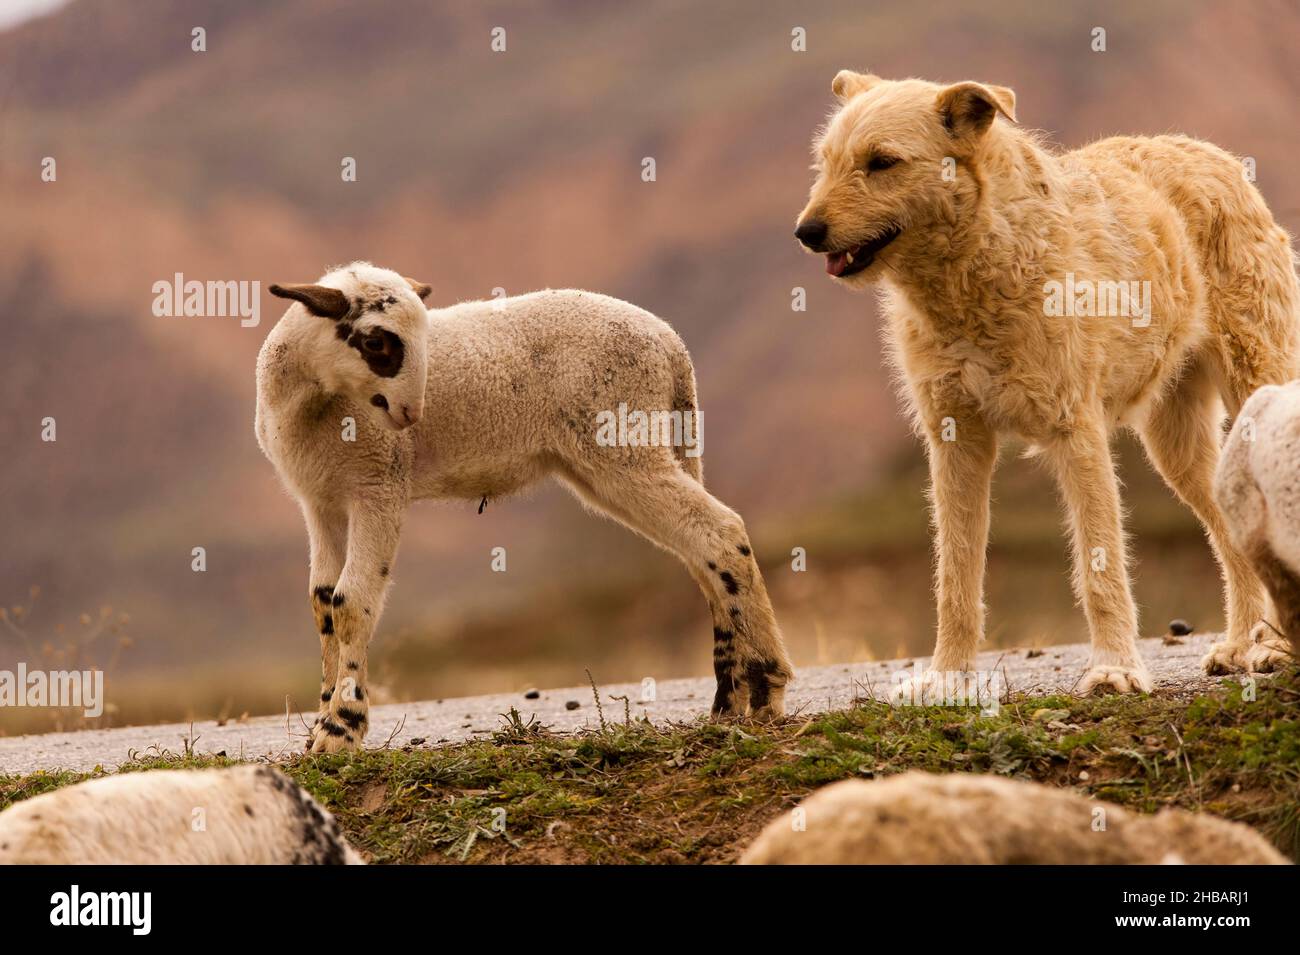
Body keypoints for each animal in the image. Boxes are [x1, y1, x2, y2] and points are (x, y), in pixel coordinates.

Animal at [257, 262, 795, 753]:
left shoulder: (378, 488)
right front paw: (321, 719)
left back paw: (766, 689)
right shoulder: (321, 500)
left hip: (624, 444)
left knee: (719, 532)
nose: (412, 414)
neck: (313, 405)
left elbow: (353, 602)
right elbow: (323, 602)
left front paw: (340, 730)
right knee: (700, 553)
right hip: (629, 455)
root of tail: (671, 346)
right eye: (376, 342)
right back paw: (731, 700)